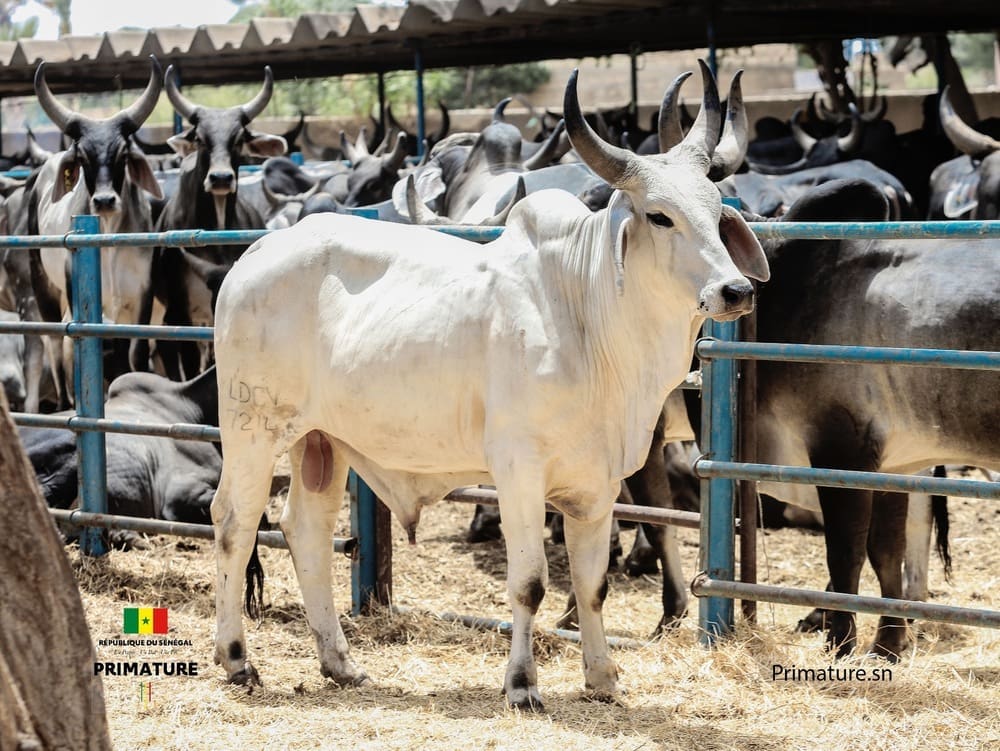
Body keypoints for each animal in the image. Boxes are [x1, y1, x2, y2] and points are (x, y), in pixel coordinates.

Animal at [26, 57, 164, 407]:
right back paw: (65, 404)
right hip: (45, 288)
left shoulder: (140, 297)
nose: (103, 200)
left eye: (122, 154)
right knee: (55, 343)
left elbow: (135, 352)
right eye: (83, 156)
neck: (110, 239)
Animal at [206, 62, 767, 710]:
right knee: (234, 521)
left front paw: (602, 678)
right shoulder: (518, 470)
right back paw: (237, 658)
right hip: (253, 428)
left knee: (307, 531)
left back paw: (340, 663)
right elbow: (529, 583)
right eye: (659, 215)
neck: (587, 315)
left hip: (321, 441)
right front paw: (522, 685)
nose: (734, 290)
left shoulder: (598, 483)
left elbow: (592, 584)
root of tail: (256, 251)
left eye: (717, 209)